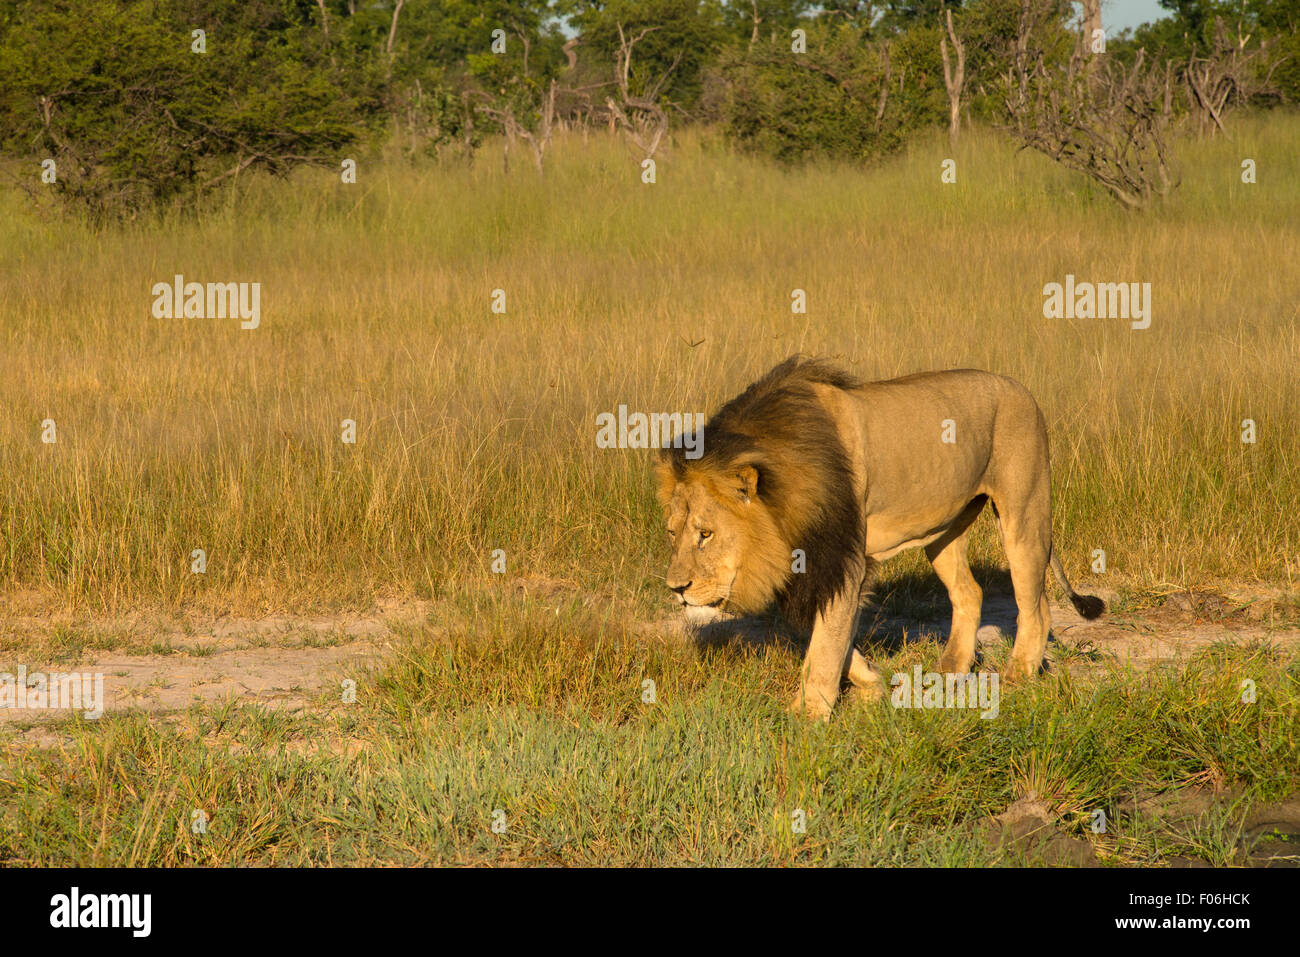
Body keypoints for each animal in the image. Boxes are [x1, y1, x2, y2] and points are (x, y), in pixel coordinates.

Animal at [655, 355, 1104, 720]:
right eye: (672, 533)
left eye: (706, 535)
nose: (676, 589)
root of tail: (1020, 387)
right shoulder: (815, 569)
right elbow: (828, 635)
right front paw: (870, 682)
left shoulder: (844, 561)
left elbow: (825, 644)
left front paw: (808, 717)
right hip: (942, 531)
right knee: (970, 592)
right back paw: (949, 670)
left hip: (1024, 512)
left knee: (1035, 605)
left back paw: (1018, 676)